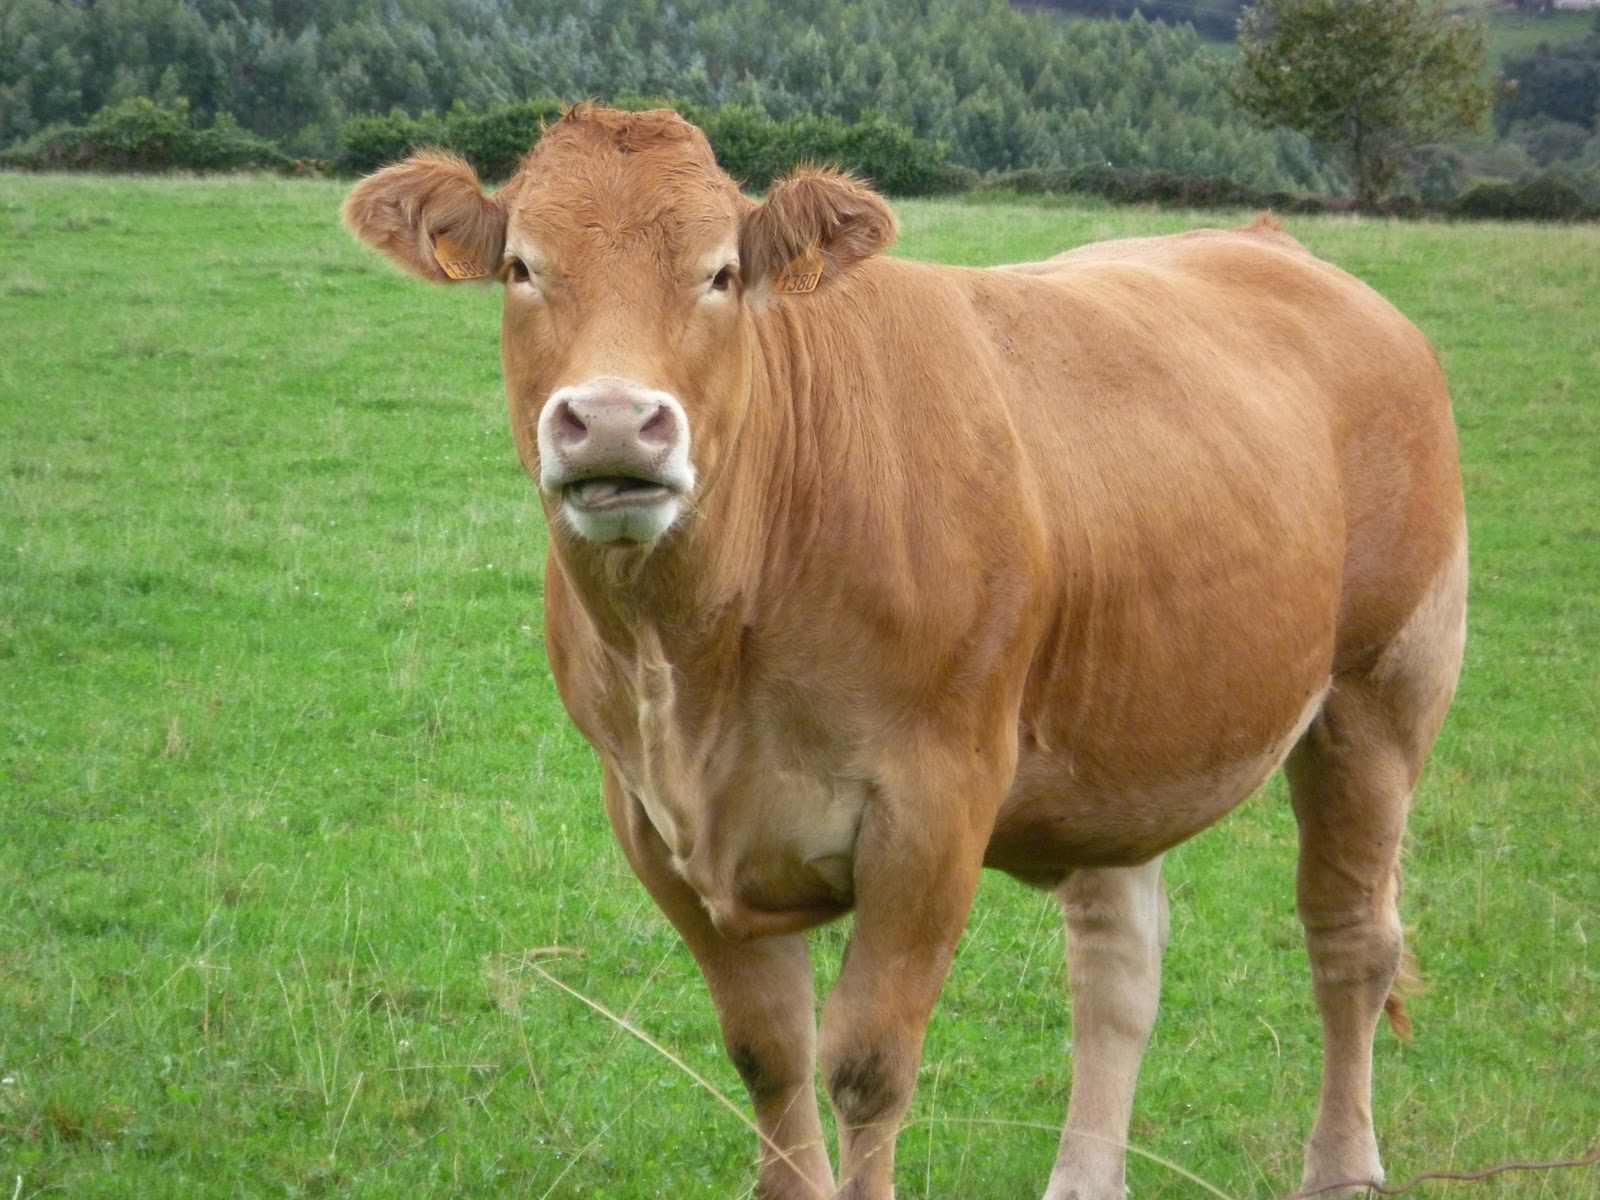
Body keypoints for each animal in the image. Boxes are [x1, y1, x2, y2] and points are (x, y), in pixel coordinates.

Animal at [342, 106, 1466, 1200]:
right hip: (1126, 742)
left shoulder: (934, 809)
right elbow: (770, 1055)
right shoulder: (655, 820)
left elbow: (866, 1066)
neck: (698, 660)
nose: (615, 422)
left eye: (722, 273)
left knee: (1349, 938)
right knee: (1117, 969)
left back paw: (1342, 1165)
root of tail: (1273, 245)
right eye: (522, 267)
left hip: (1382, 691)